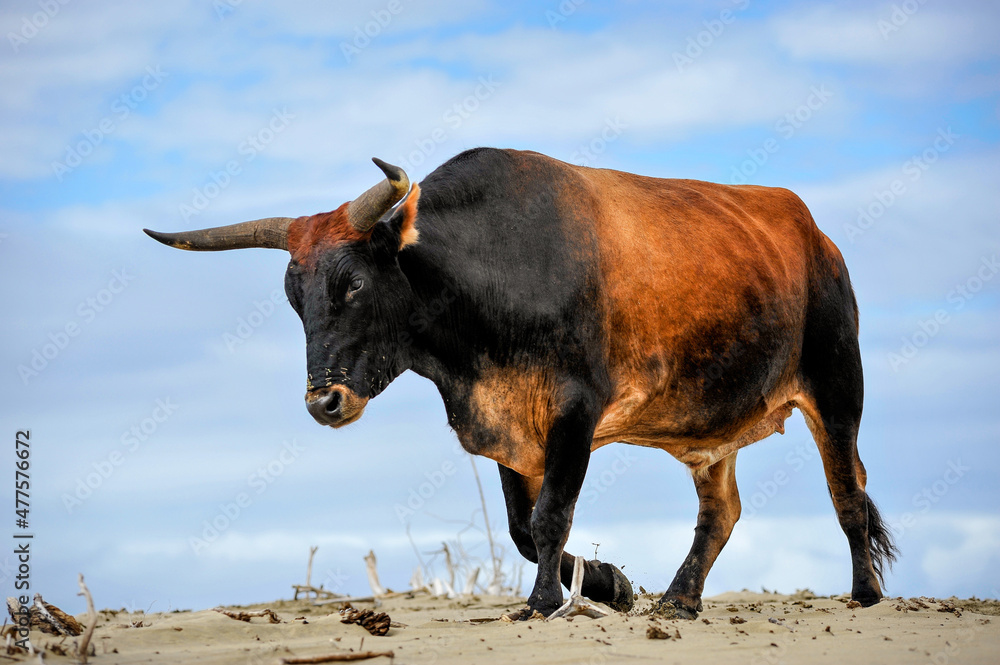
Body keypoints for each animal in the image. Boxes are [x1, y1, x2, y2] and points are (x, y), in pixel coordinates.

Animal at [145, 147, 896, 618]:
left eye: (353, 282)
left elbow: (549, 516)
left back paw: (864, 594)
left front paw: (541, 604)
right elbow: (522, 529)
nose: (323, 401)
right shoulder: (513, 430)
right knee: (720, 514)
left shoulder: (575, 414)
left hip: (838, 389)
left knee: (848, 491)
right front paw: (609, 585)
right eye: (292, 296)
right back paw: (678, 599)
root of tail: (816, 237)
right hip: (714, 431)